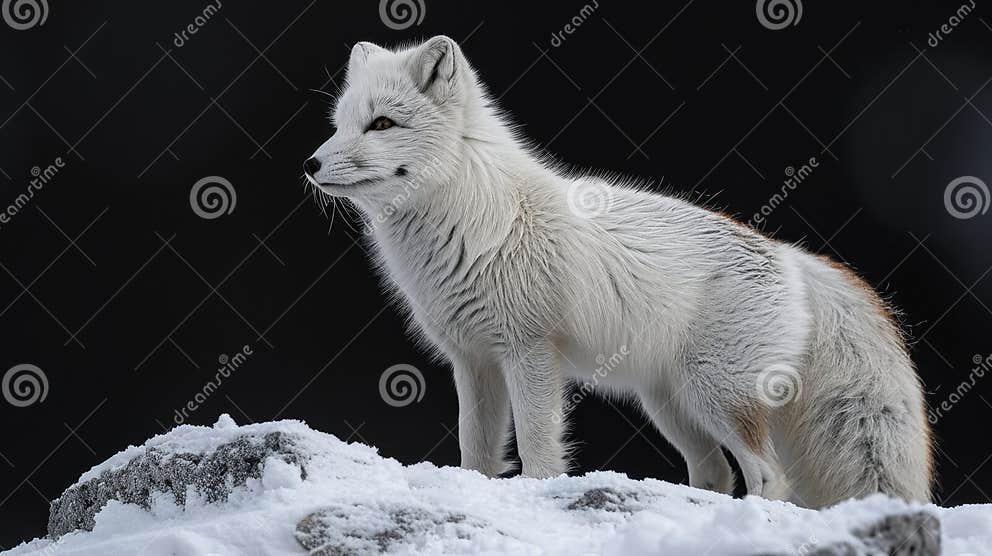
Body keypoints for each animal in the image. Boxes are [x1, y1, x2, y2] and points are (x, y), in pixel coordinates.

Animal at [303, 35, 934, 508]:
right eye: (339, 125)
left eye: (382, 124)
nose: (309, 163)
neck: (477, 219)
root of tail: (787, 254)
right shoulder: (474, 361)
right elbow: (477, 454)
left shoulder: (531, 353)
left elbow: (537, 448)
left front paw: (539, 495)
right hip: (671, 405)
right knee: (716, 472)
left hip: (717, 396)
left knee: (767, 474)